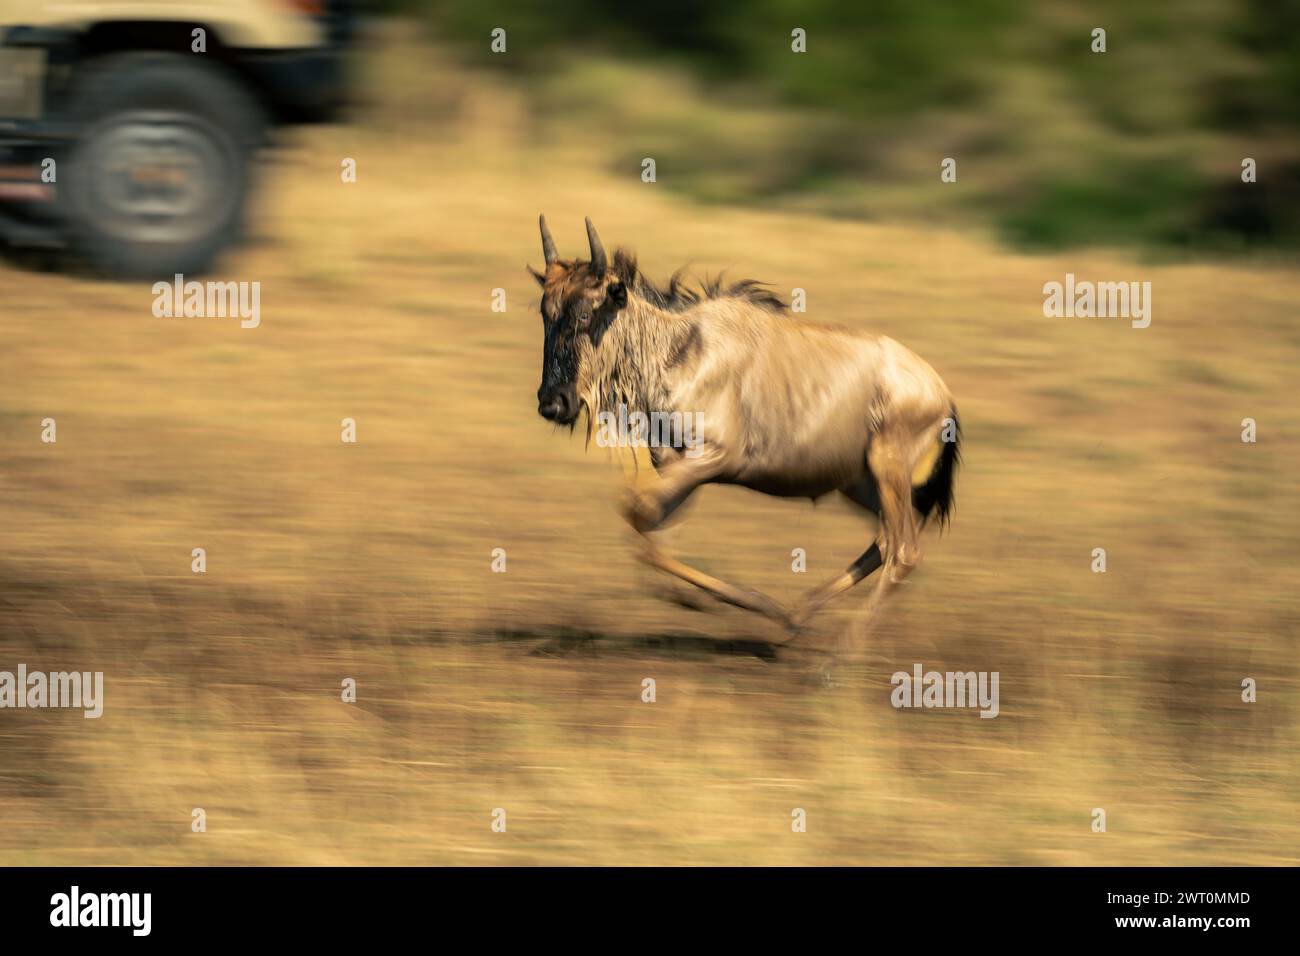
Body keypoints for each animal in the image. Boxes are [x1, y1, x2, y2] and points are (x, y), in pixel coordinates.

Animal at [532, 215, 960, 649]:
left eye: (586, 314)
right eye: (546, 313)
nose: (554, 403)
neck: (678, 353)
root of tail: (941, 393)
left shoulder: (716, 455)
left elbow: (637, 509)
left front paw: (743, 604)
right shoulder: (677, 464)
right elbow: (651, 525)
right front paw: (697, 600)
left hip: (888, 467)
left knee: (904, 550)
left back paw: (839, 652)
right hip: (863, 484)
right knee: (884, 542)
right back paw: (800, 614)